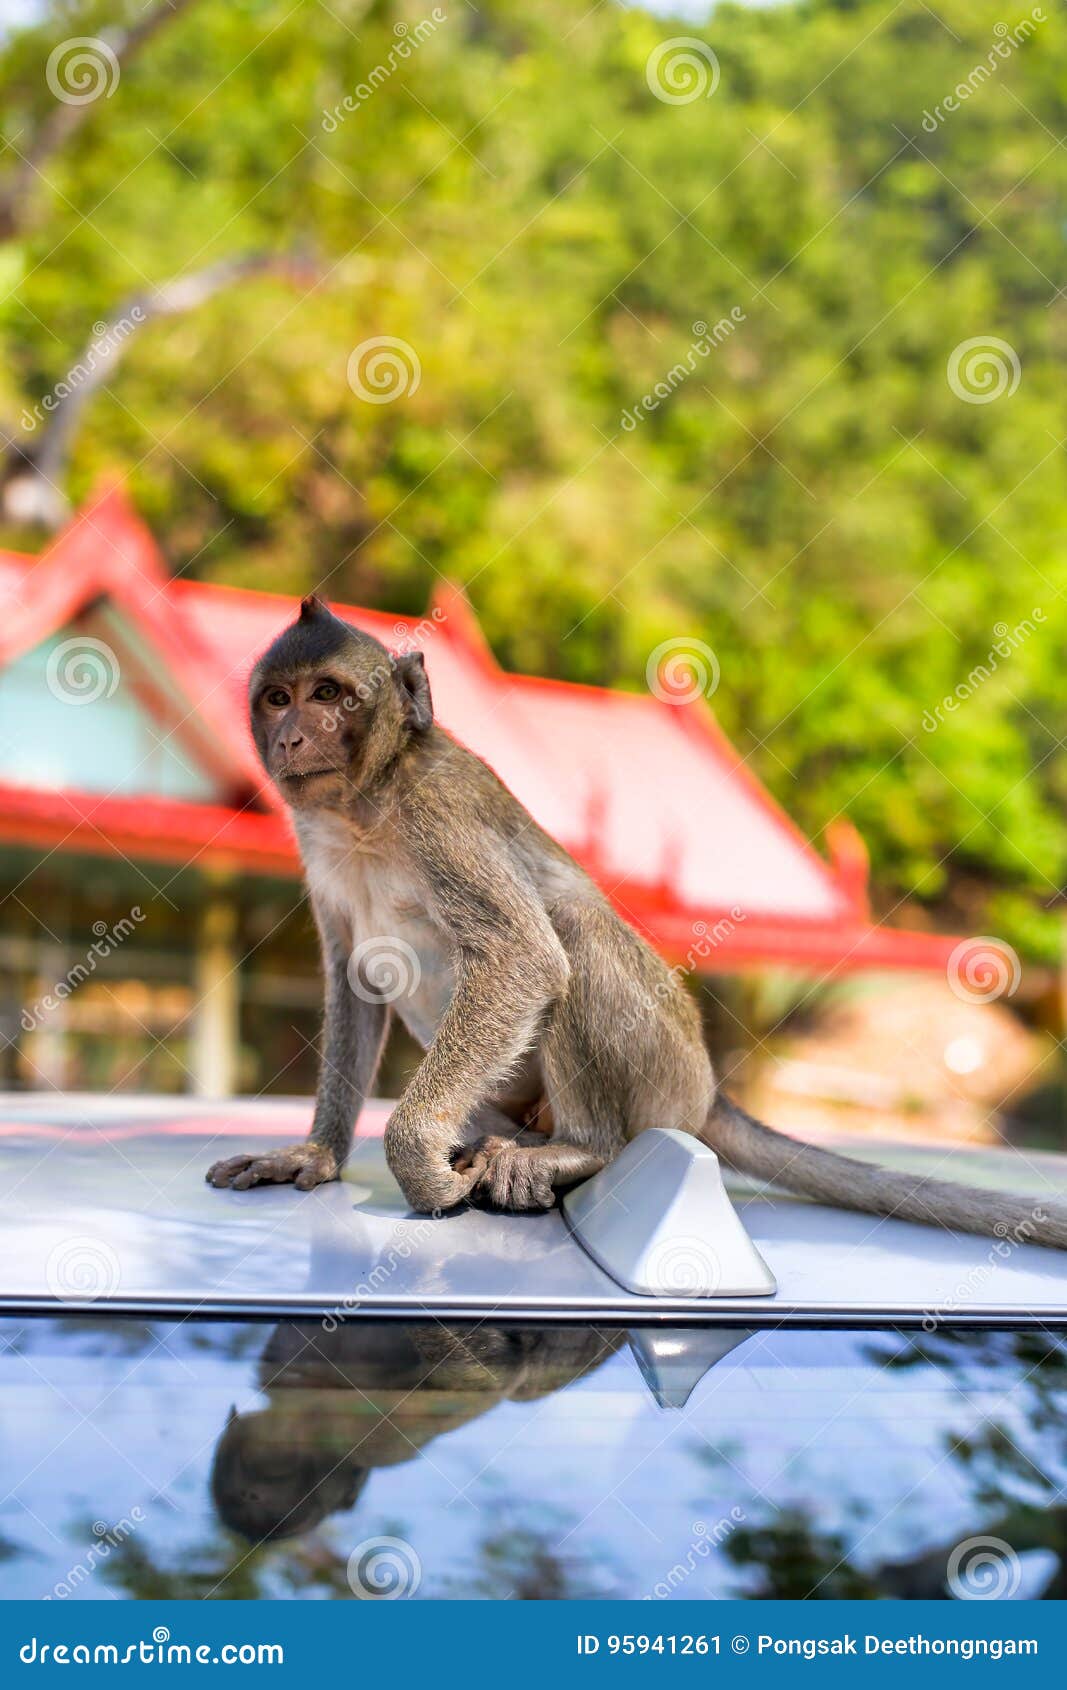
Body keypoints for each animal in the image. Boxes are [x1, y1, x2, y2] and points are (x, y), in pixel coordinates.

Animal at [207, 596, 1067, 1252]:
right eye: (278, 698)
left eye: (331, 695)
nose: (292, 736)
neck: (365, 807)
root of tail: (711, 1092)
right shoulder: (315, 842)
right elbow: (352, 983)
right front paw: (316, 1155)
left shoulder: (438, 810)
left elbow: (522, 957)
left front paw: (411, 1155)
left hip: (666, 1071)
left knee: (571, 933)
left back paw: (579, 1150)